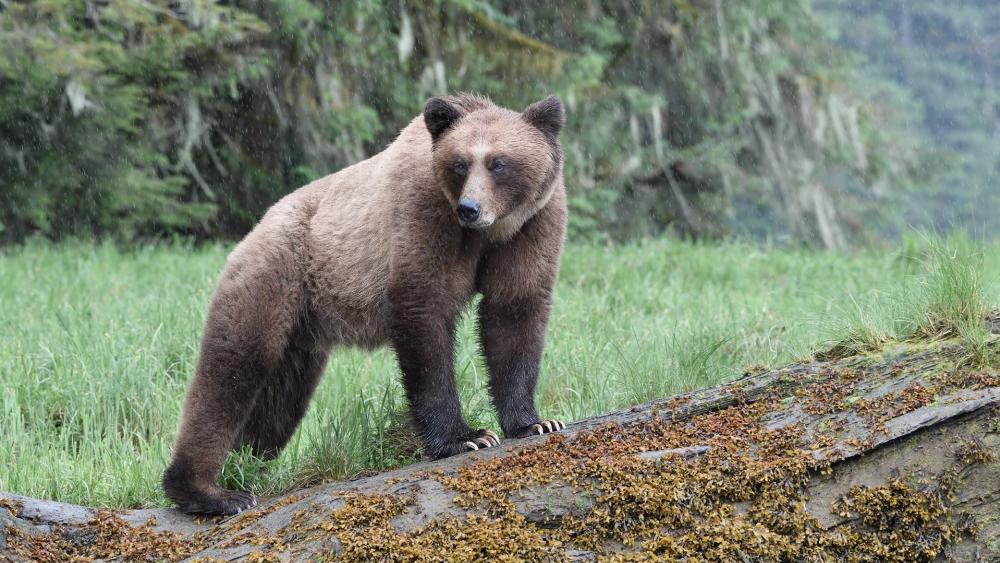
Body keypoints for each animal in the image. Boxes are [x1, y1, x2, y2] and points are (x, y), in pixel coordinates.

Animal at [161, 93, 568, 515]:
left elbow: (514, 312)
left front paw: (535, 423)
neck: (491, 231)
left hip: (302, 333)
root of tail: (254, 230)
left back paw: (246, 465)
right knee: (231, 370)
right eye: (460, 164)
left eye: (498, 162)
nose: (470, 208)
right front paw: (466, 437)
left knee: (279, 402)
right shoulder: (423, 215)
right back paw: (212, 492)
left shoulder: (533, 224)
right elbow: (425, 313)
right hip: (275, 275)